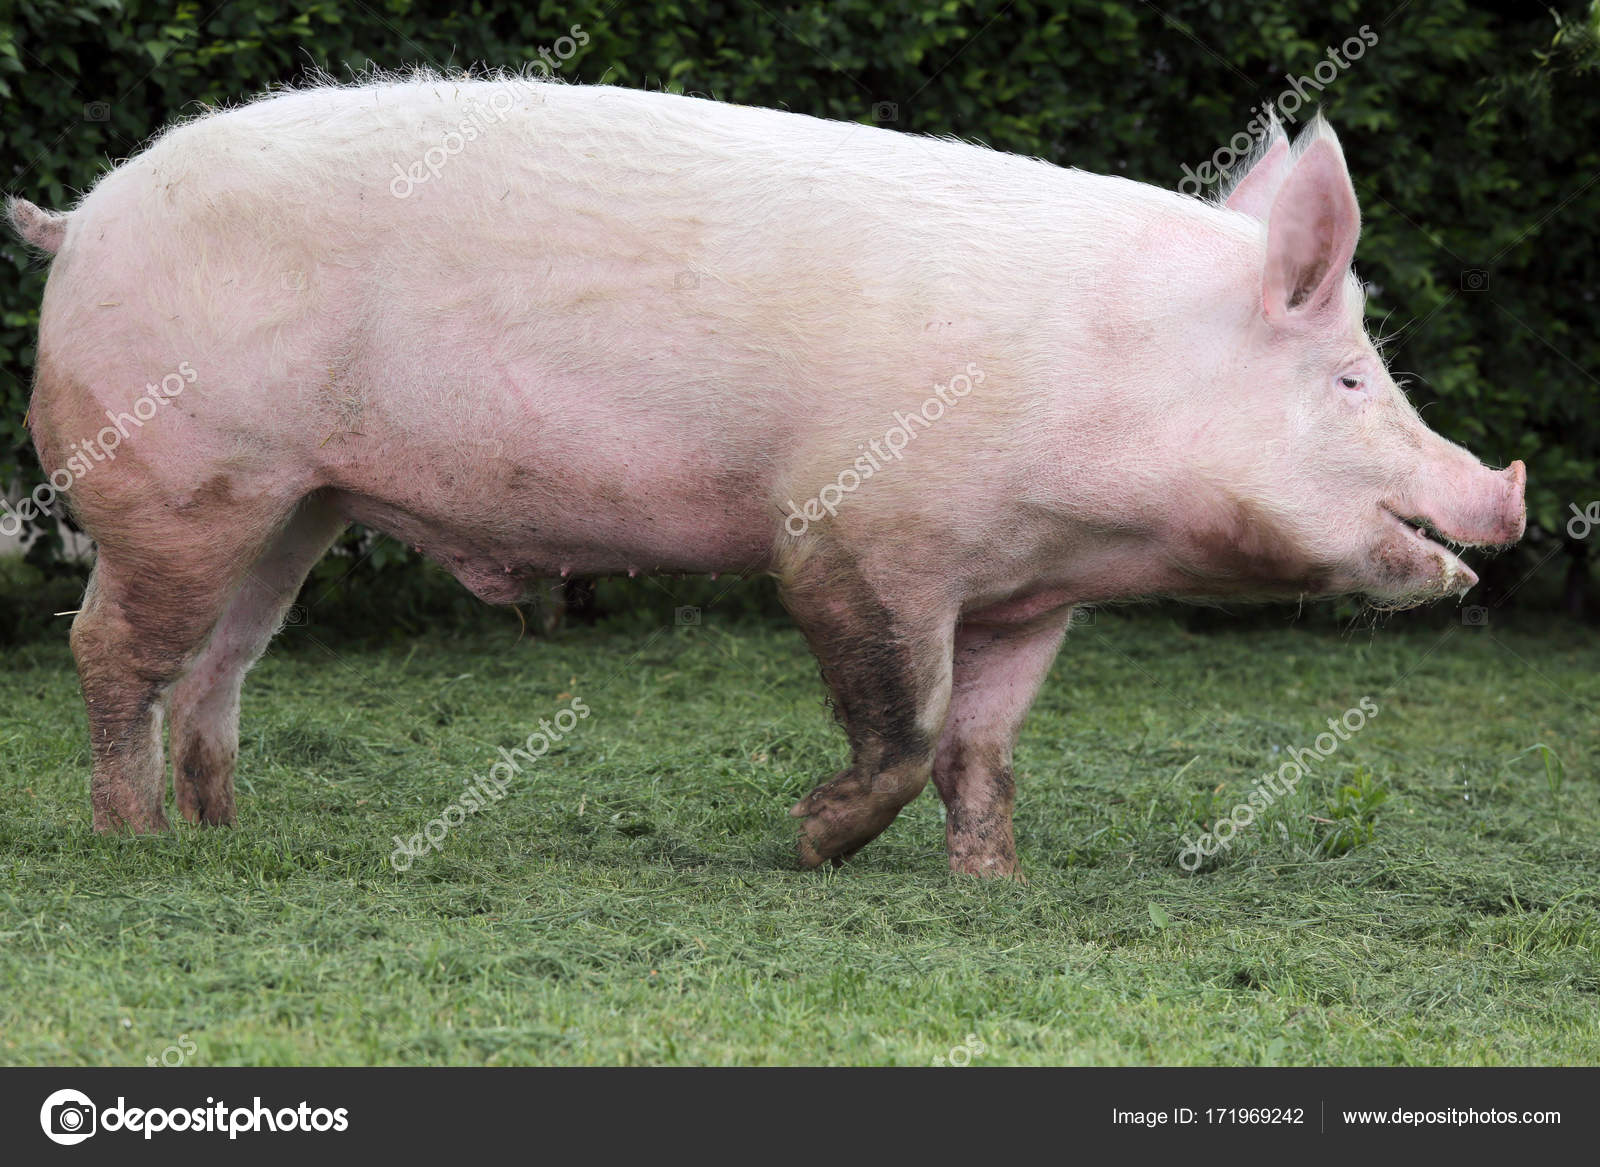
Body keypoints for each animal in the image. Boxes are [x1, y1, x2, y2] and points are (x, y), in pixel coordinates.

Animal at [6, 73, 1524, 875]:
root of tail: (78, 217)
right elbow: (901, 723)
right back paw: (135, 843)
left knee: (223, 660)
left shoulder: (1031, 594)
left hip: (294, 502)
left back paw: (226, 831)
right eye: (1351, 379)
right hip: (175, 472)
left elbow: (985, 747)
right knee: (111, 646)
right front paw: (808, 842)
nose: (1503, 491)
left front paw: (992, 883)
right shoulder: (853, 531)